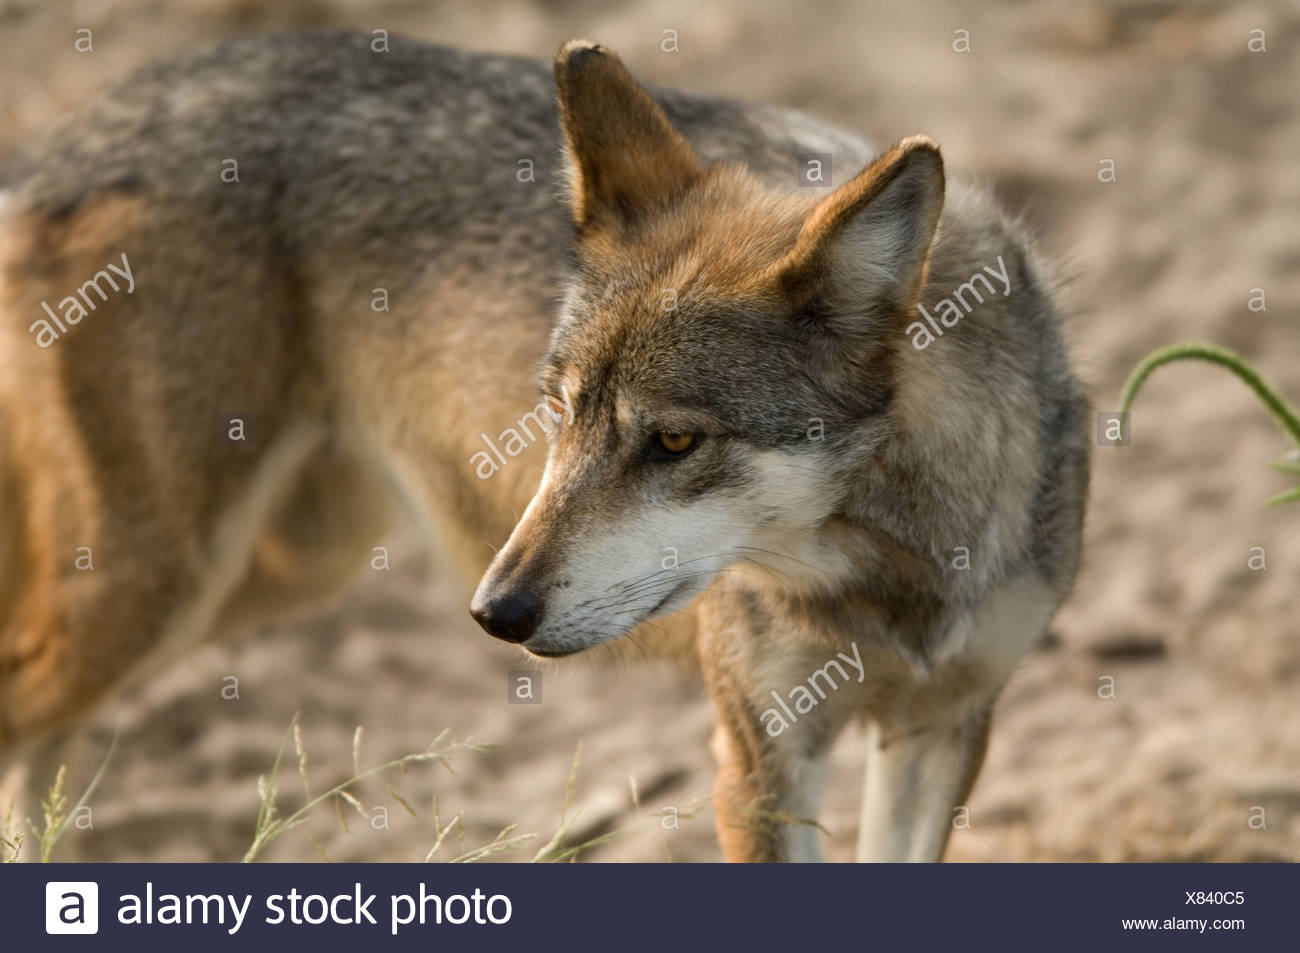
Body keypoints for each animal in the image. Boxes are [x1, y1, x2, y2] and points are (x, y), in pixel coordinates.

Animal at [0, 30, 1089, 862]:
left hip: (277, 572)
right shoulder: (760, 759)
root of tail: (75, 127)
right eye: (559, 412)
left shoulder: (940, 732)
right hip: (158, 588)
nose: (496, 612)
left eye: (674, 440)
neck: (892, 563)